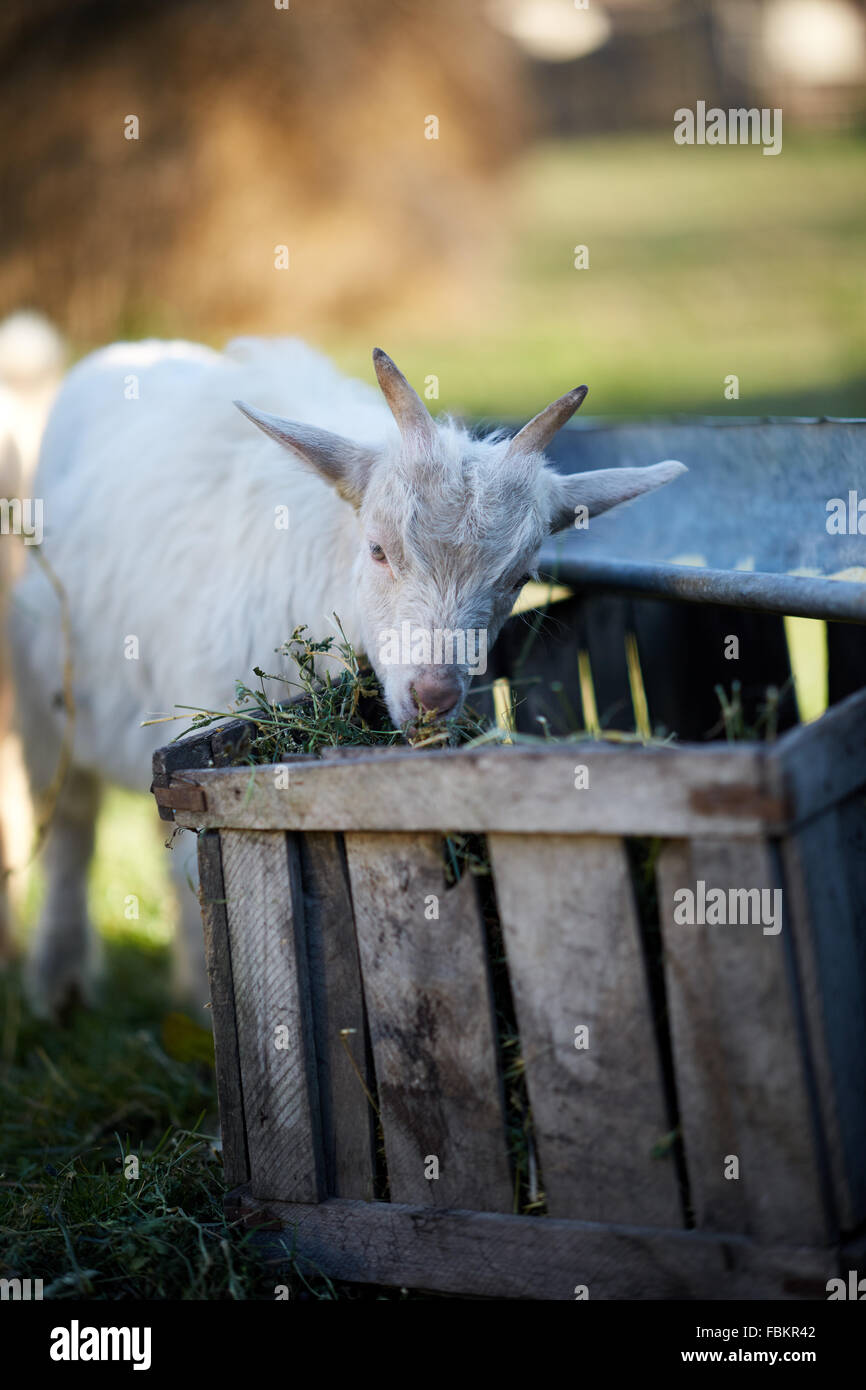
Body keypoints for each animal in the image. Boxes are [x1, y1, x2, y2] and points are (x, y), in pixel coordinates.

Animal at [11, 337, 685, 1019]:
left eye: (520, 576)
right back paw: (61, 986)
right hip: (46, 703)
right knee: (69, 827)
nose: (434, 694)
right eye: (379, 549)